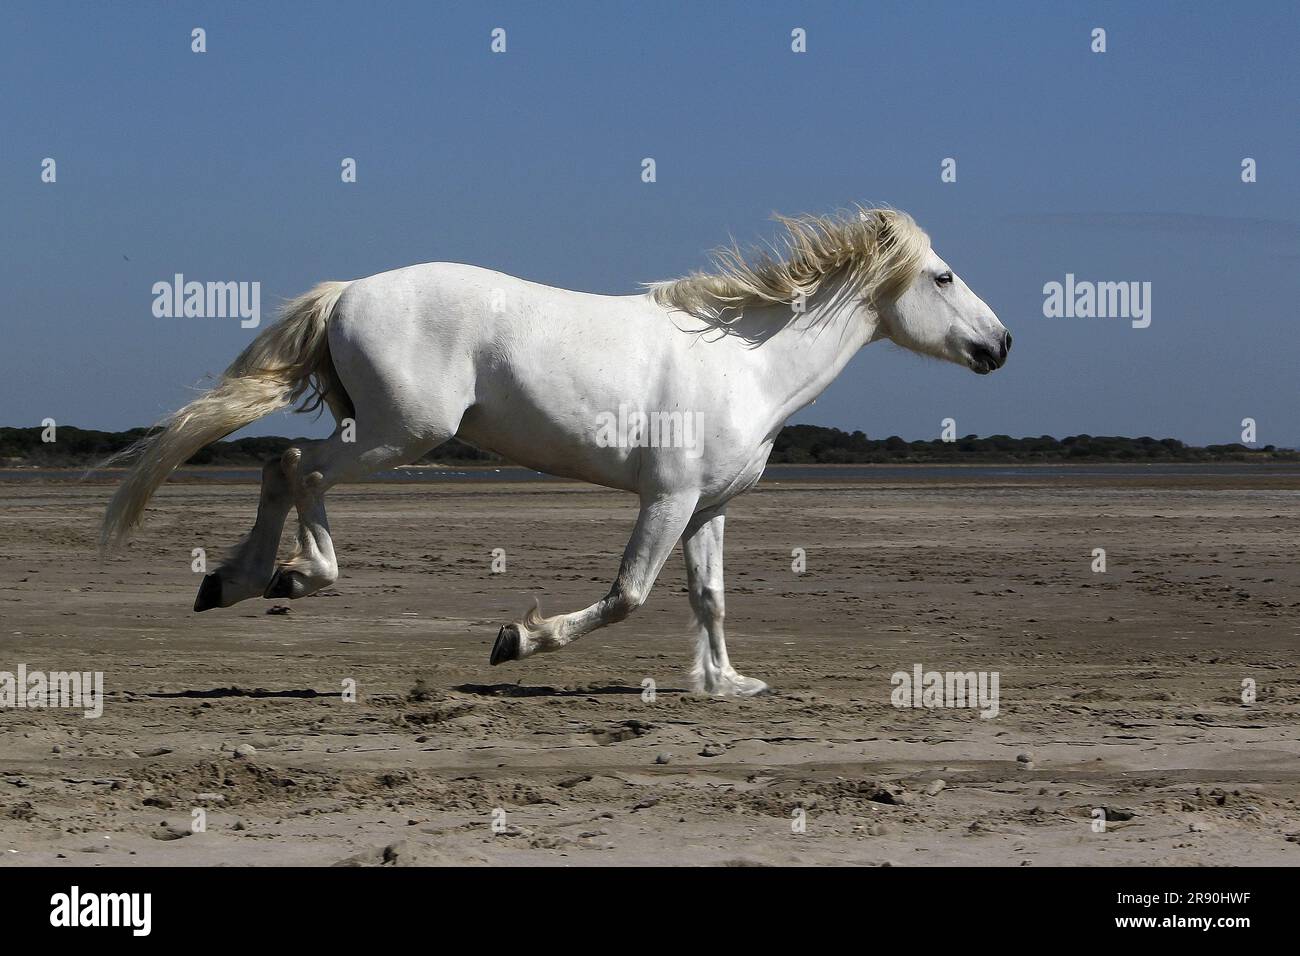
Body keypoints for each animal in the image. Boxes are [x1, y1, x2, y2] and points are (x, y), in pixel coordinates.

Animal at [100, 207, 1010, 697]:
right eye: (942, 277)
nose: (1000, 345)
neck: (747, 361)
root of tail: (347, 292)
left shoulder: (707, 506)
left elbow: (708, 597)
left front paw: (725, 684)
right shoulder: (666, 499)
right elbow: (629, 595)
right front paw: (516, 639)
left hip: (385, 430)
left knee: (278, 465)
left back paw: (233, 581)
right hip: (403, 432)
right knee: (297, 467)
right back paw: (291, 576)